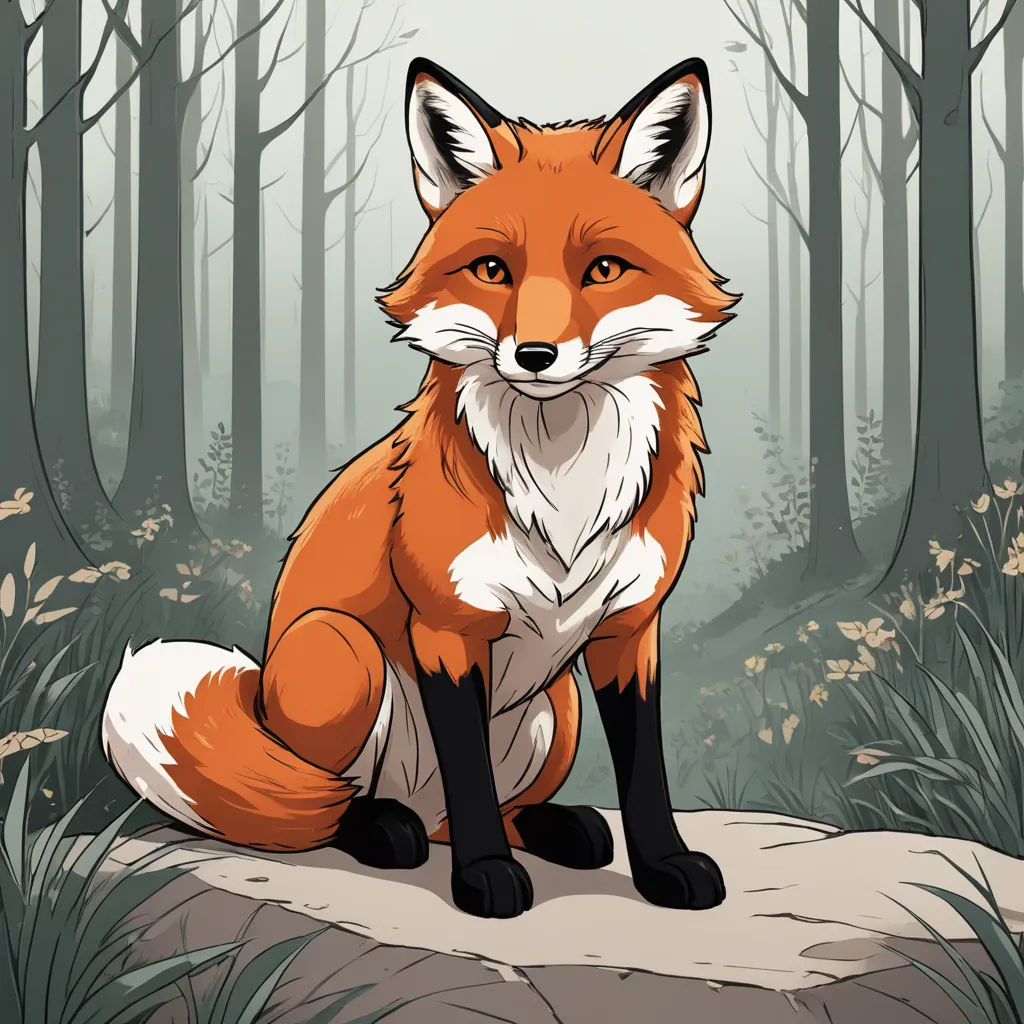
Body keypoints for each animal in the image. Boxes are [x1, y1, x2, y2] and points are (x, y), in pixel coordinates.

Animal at [102, 55, 739, 919]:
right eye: (493, 271)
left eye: (603, 270)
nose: (535, 354)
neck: (562, 486)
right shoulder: (448, 628)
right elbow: (466, 771)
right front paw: (485, 877)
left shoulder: (629, 631)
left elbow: (644, 774)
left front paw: (665, 866)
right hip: (344, 654)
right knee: (327, 807)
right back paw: (387, 830)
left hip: (558, 707)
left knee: (486, 806)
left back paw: (558, 826)